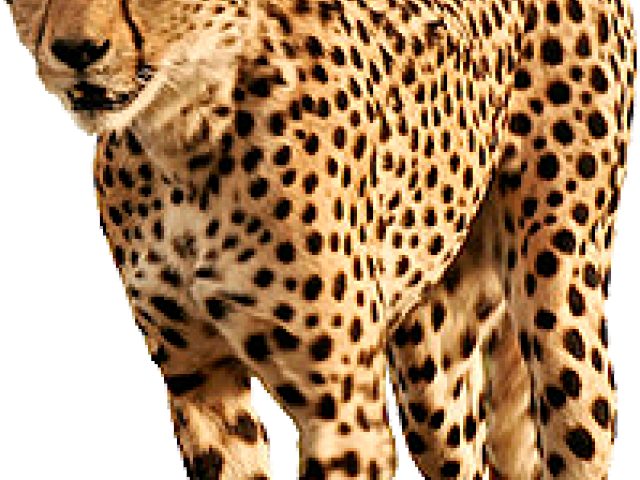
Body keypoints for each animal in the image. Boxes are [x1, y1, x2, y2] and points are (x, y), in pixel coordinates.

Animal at [5, 0, 634, 478]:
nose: (77, 51)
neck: (185, 137)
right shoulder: (199, 386)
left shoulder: (340, 405)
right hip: (434, 360)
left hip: (558, 298)